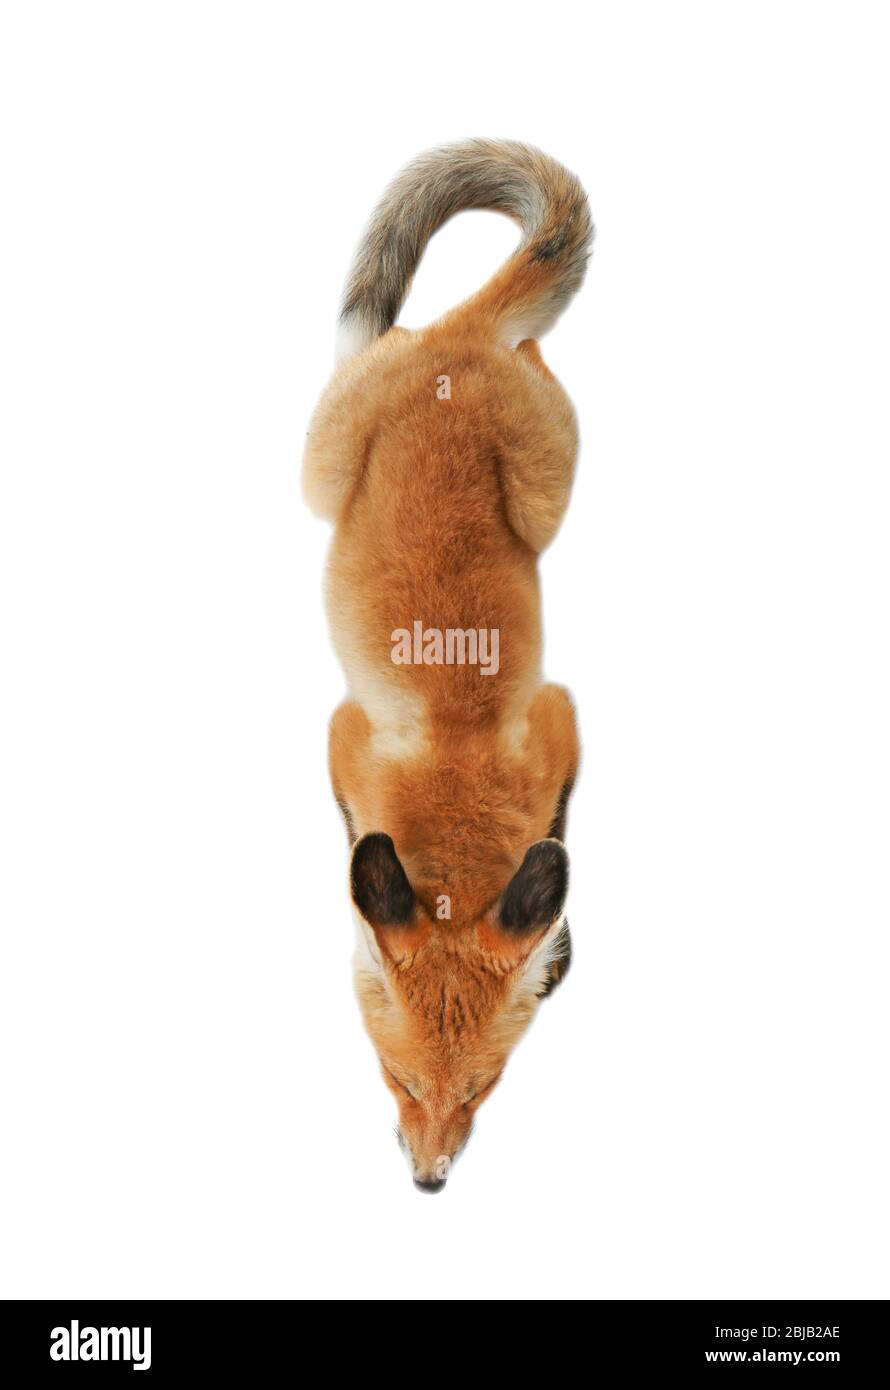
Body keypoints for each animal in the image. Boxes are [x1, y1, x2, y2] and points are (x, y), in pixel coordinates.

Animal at [303, 139, 593, 1191]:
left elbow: (558, 846)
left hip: (551, 480)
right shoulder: (344, 736)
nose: (428, 1185)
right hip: (318, 471)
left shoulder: (559, 721)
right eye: (394, 1081)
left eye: (481, 1092)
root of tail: (452, 342)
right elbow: (356, 836)